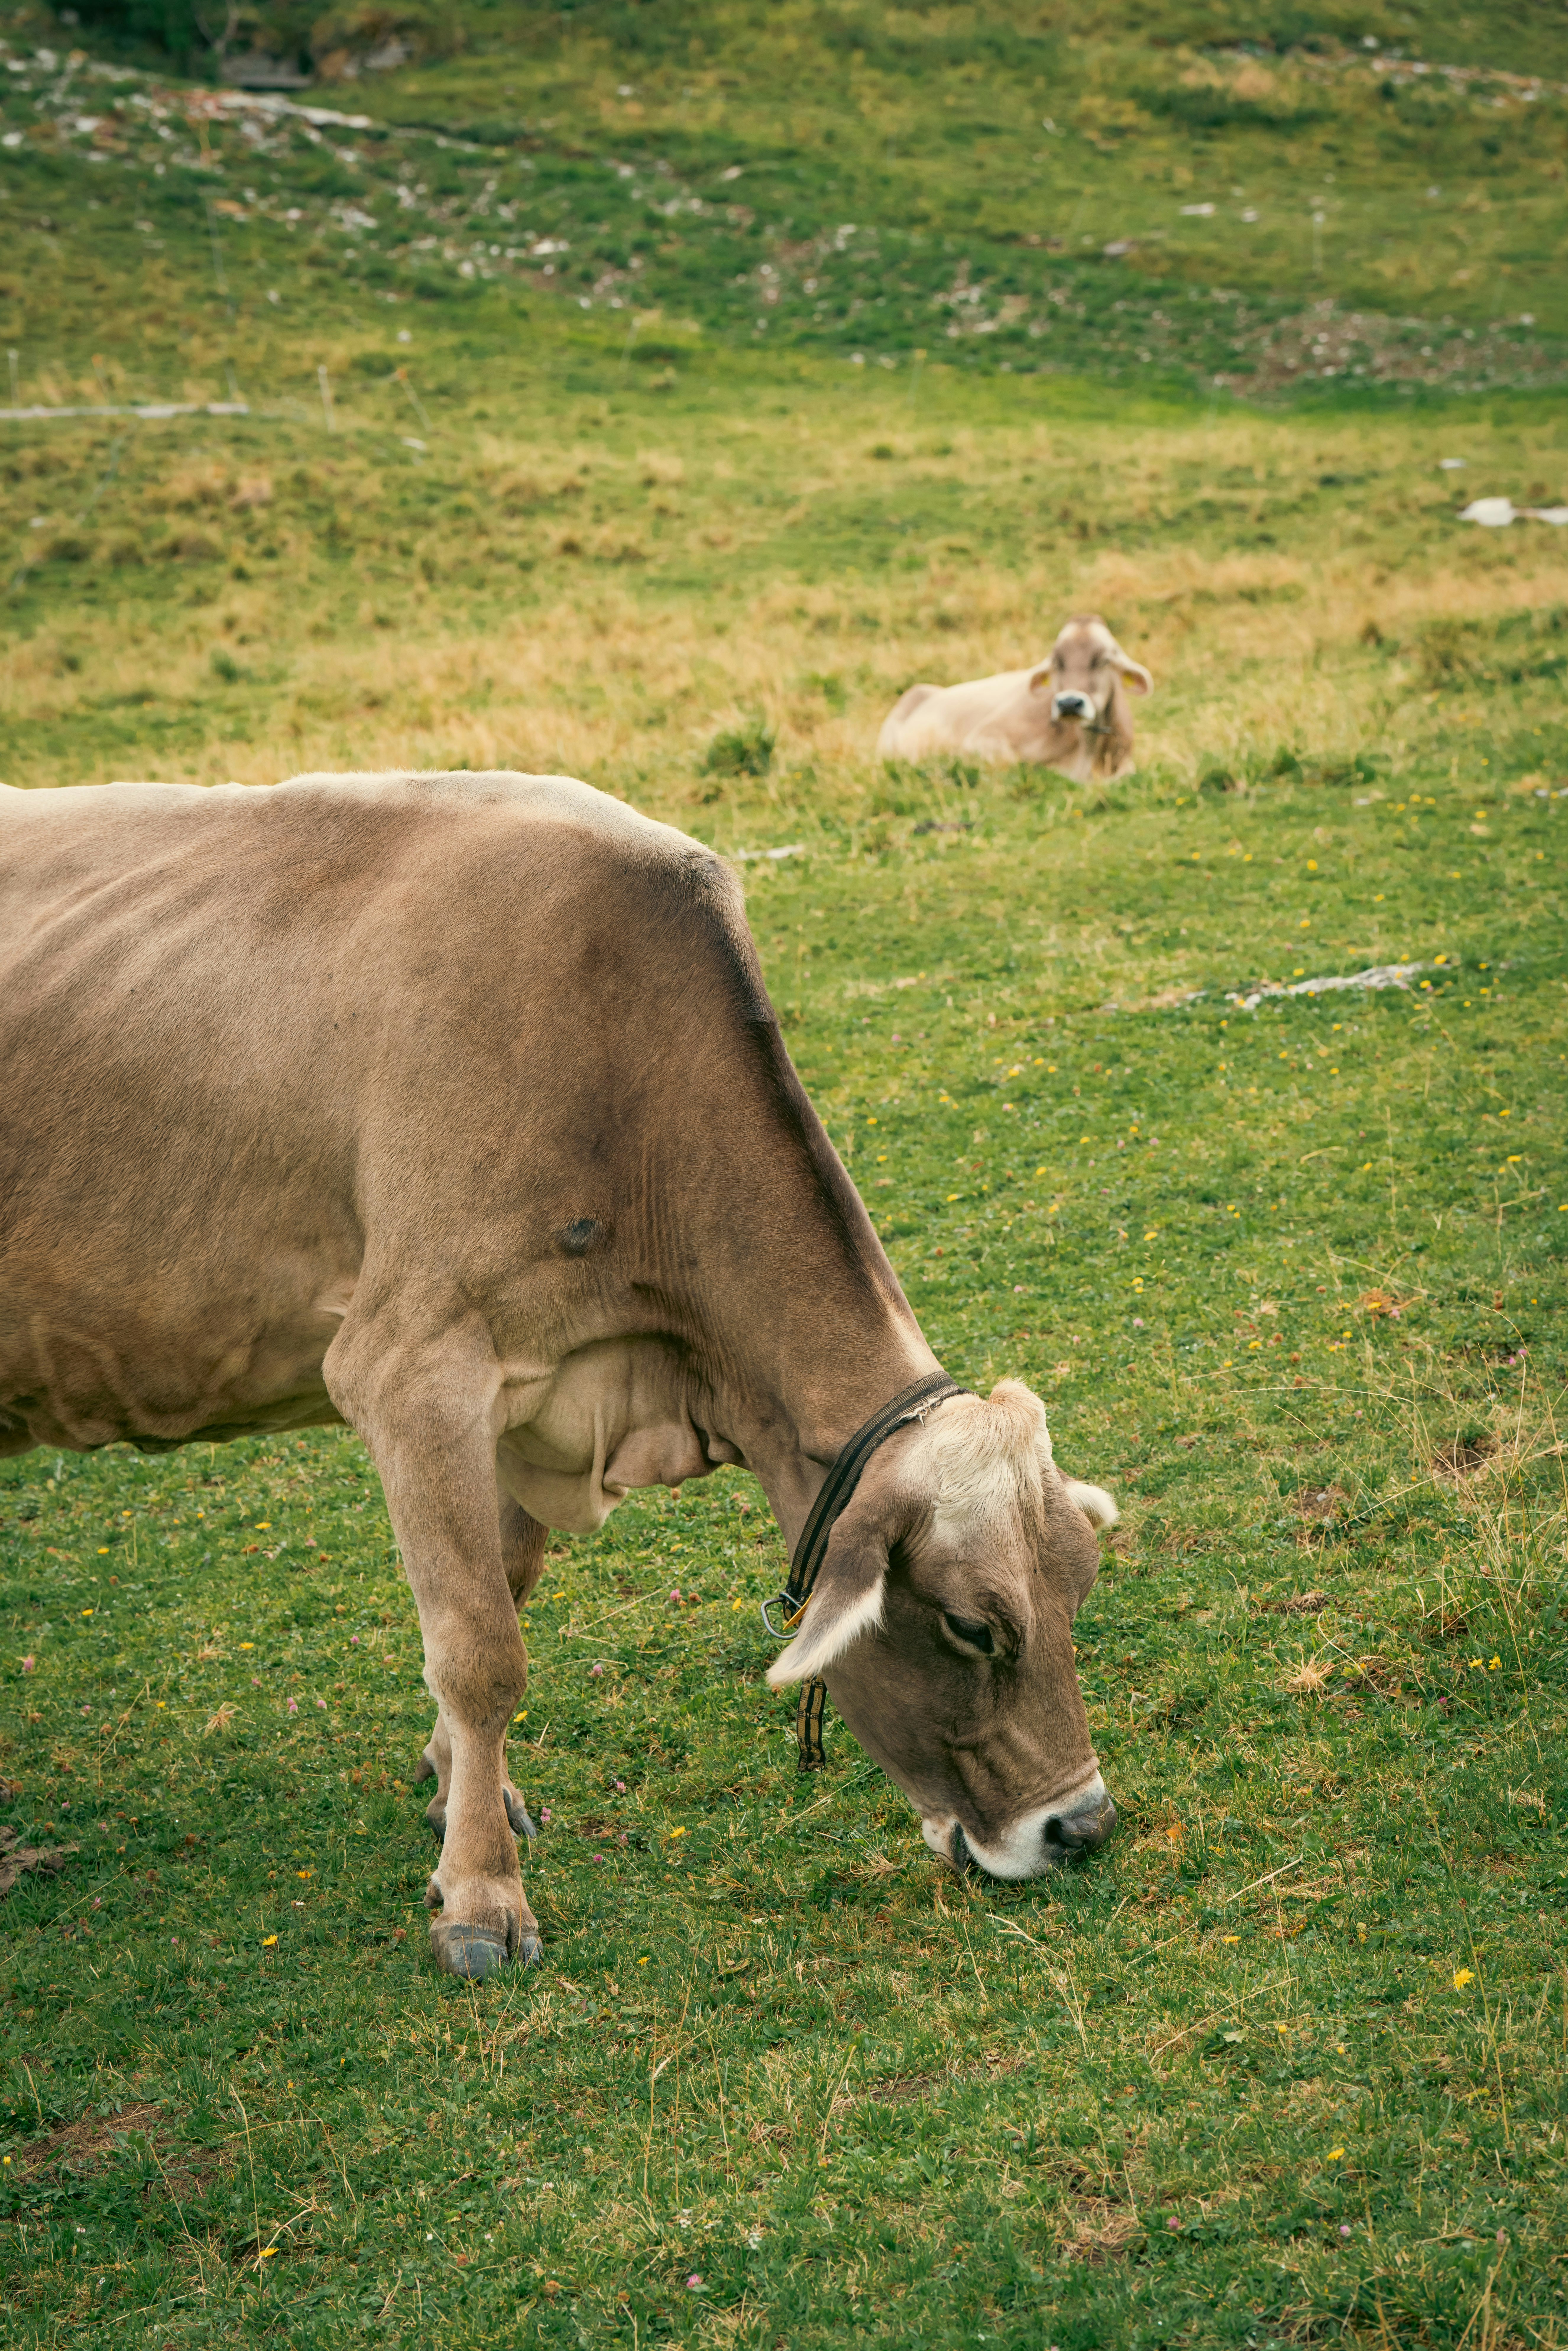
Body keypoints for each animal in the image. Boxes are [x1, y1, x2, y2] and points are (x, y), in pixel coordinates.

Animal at [0, 770, 1119, 1978]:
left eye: (1078, 1586)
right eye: (973, 1625)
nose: (1082, 1824)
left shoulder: (528, 1391)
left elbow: (504, 1578)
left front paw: (461, 1794)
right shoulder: (411, 1364)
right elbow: (480, 1649)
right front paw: (482, 1897)